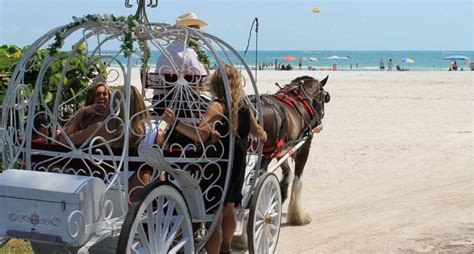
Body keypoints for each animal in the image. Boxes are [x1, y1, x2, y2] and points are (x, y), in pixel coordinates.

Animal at [256, 74, 330, 225]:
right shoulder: (304, 147)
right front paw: (297, 215)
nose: (319, 122)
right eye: (324, 98)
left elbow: (287, 174)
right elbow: (297, 178)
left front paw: (281, 195)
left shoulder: (281, 150)